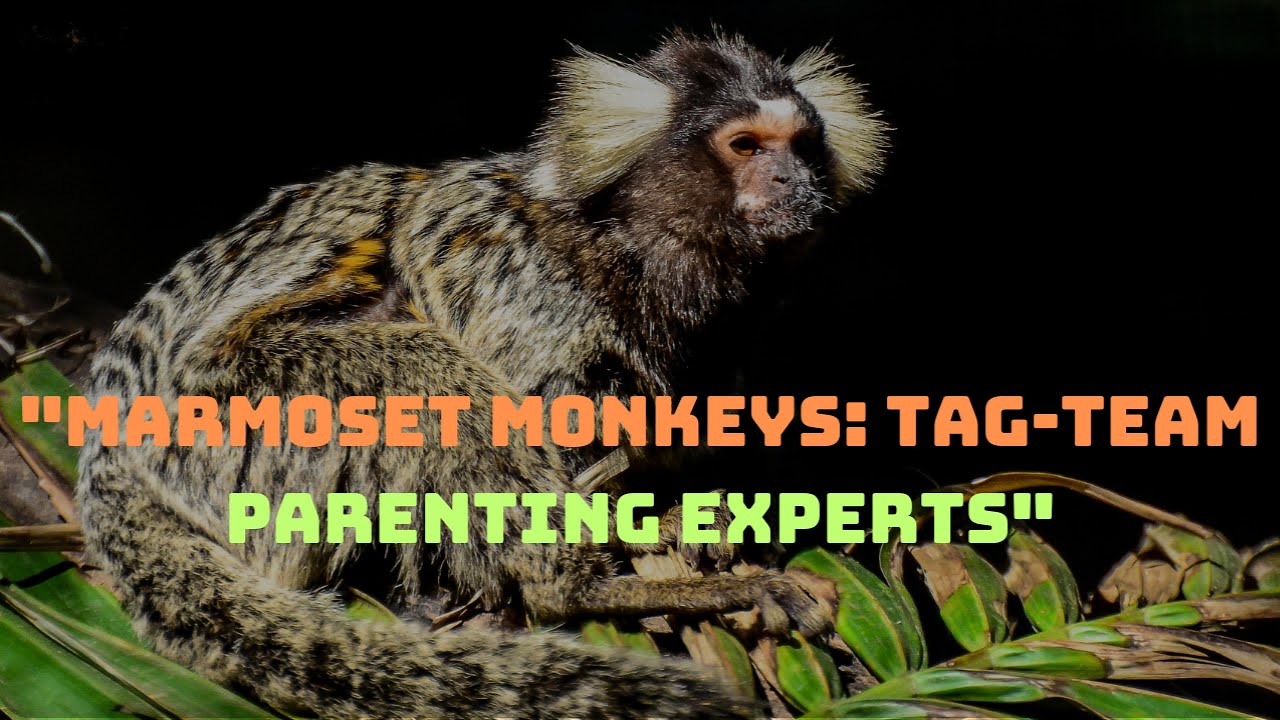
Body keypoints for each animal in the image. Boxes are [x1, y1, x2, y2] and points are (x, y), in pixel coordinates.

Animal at [75, 31, 887, 719]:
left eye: (801, 146)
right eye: (744, 145)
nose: (789, 178)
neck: (637, 248)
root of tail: (110, 445)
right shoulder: (523, 282)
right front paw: (671, 533)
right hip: (222, 421)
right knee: (428, 376)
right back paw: (593, 587)